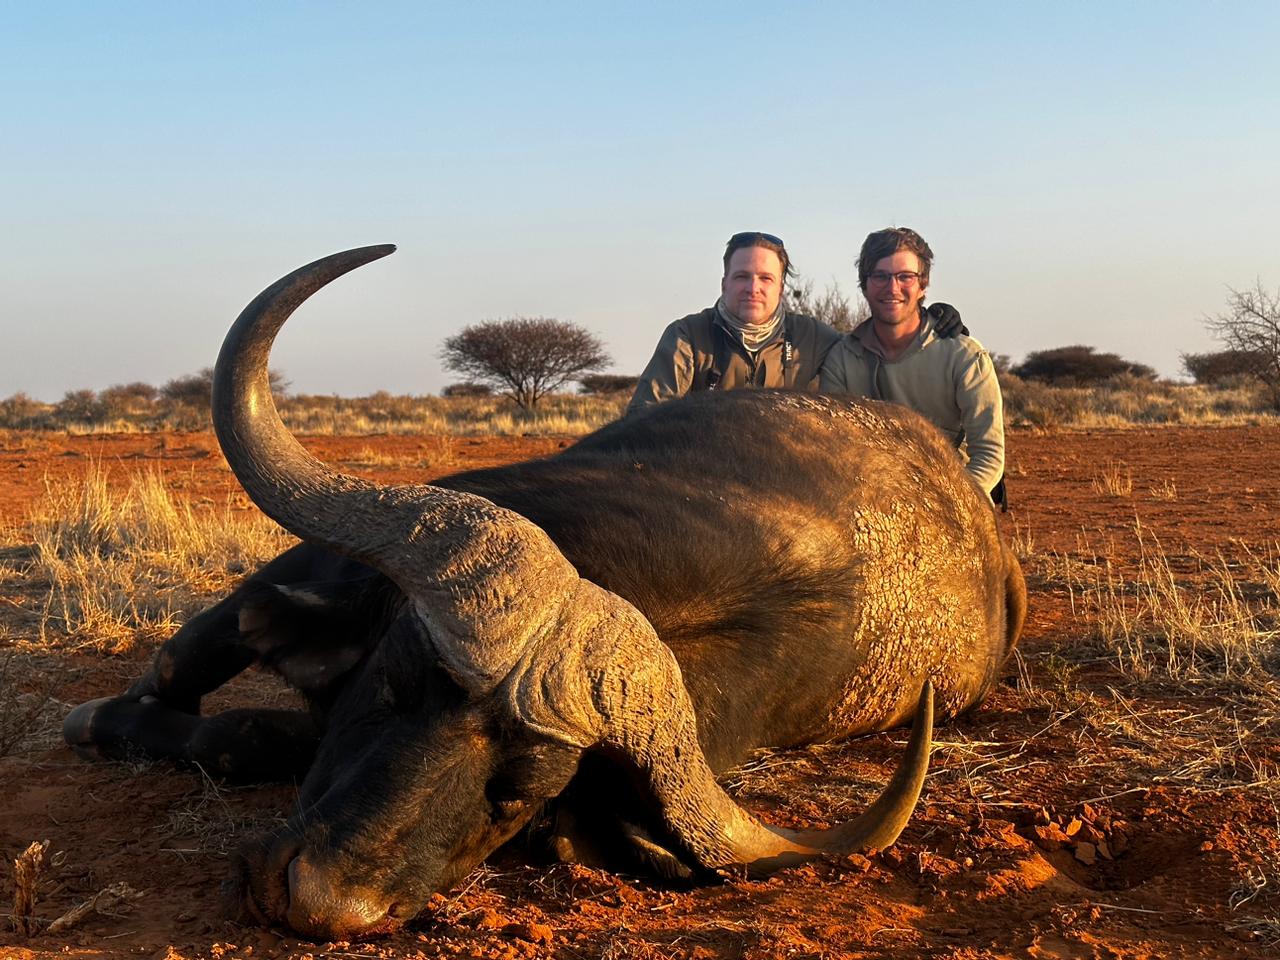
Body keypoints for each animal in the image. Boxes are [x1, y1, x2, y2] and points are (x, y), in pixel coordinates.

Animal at [64, 245, 1026, 940]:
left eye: (518, 797)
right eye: (395, 686)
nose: (320, 903)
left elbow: (258, 732)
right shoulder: (316, 567)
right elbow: (183, 666)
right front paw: (105, 715)